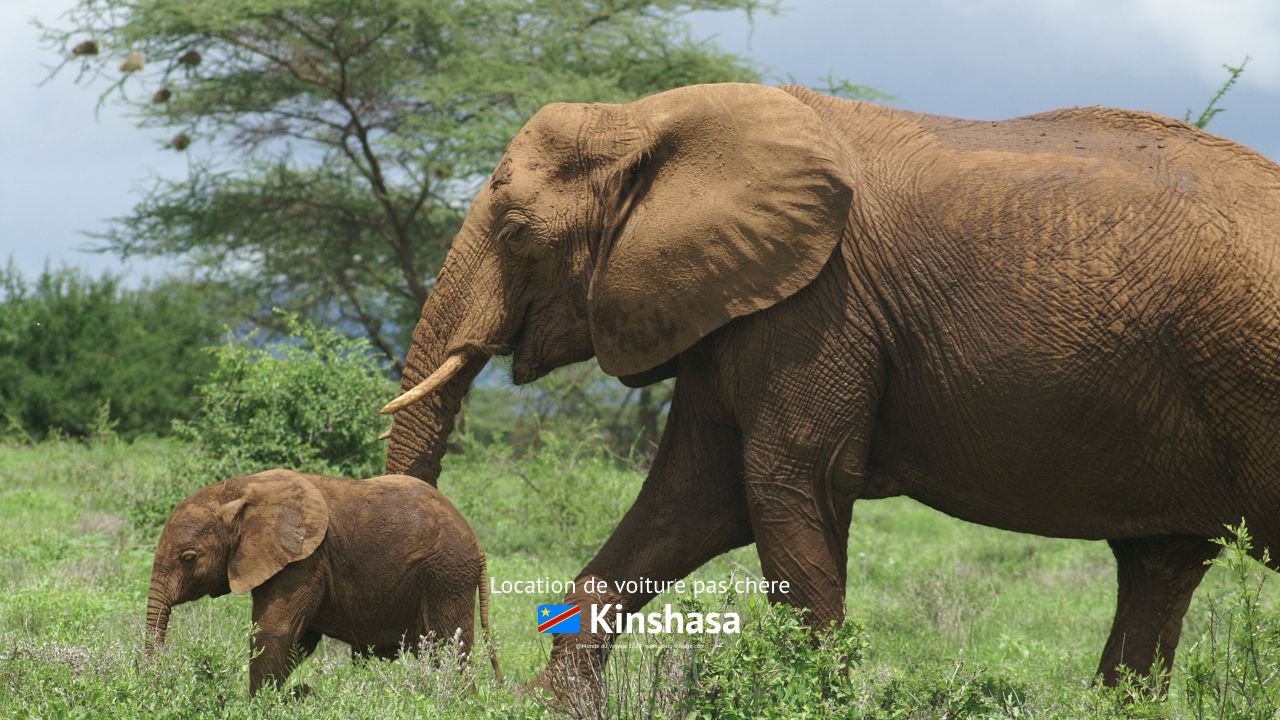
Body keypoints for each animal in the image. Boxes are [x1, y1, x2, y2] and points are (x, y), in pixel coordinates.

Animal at [144, 468, 494, 691]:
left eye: (188, 558)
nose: (155, 680)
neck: (238, 490)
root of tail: (477, 544)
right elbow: (299, 641)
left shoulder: (304, 560)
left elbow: (274, 631)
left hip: (446, 575)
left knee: (449, 650)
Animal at [376, 81, 1280, 686]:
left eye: (515, 232)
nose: (461, 676)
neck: (649, 119)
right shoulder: (736, 303)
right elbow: (693, 501)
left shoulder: (817, 307)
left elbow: (785, 489)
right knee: (1159, 568)